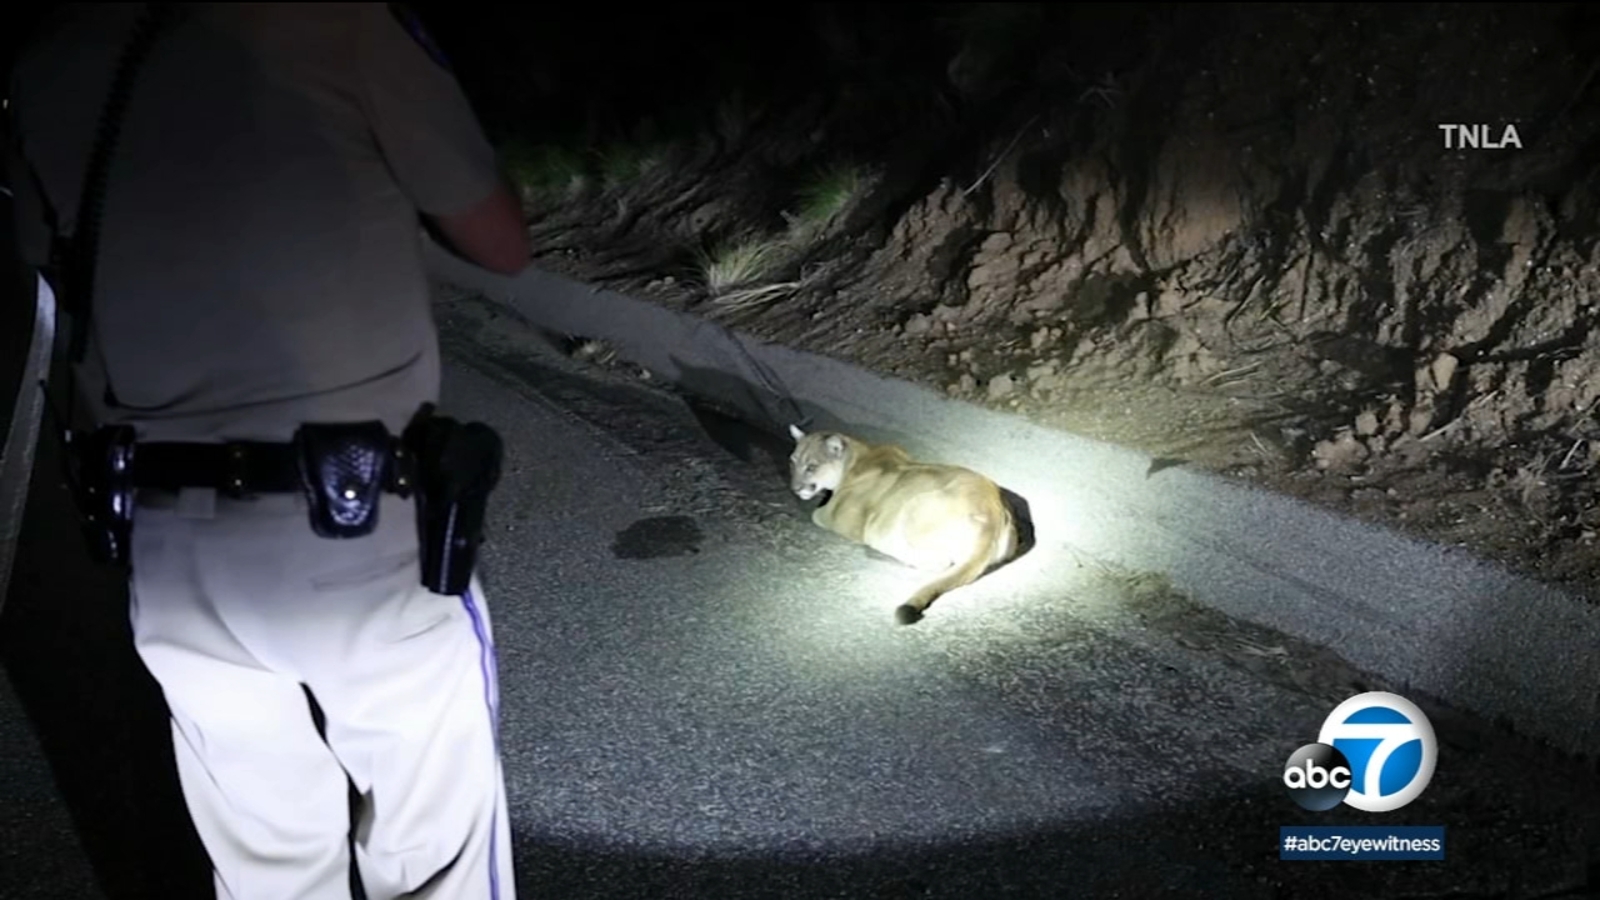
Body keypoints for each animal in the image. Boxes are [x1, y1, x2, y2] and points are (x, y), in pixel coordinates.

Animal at [787, 424, 1019, 624]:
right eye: (793, 461)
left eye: (811, 467)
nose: (795, 488)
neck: (857, 459)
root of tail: (992, 515)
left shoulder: (837, 518)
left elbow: (815, 515)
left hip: (914, 507)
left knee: (938, 562)